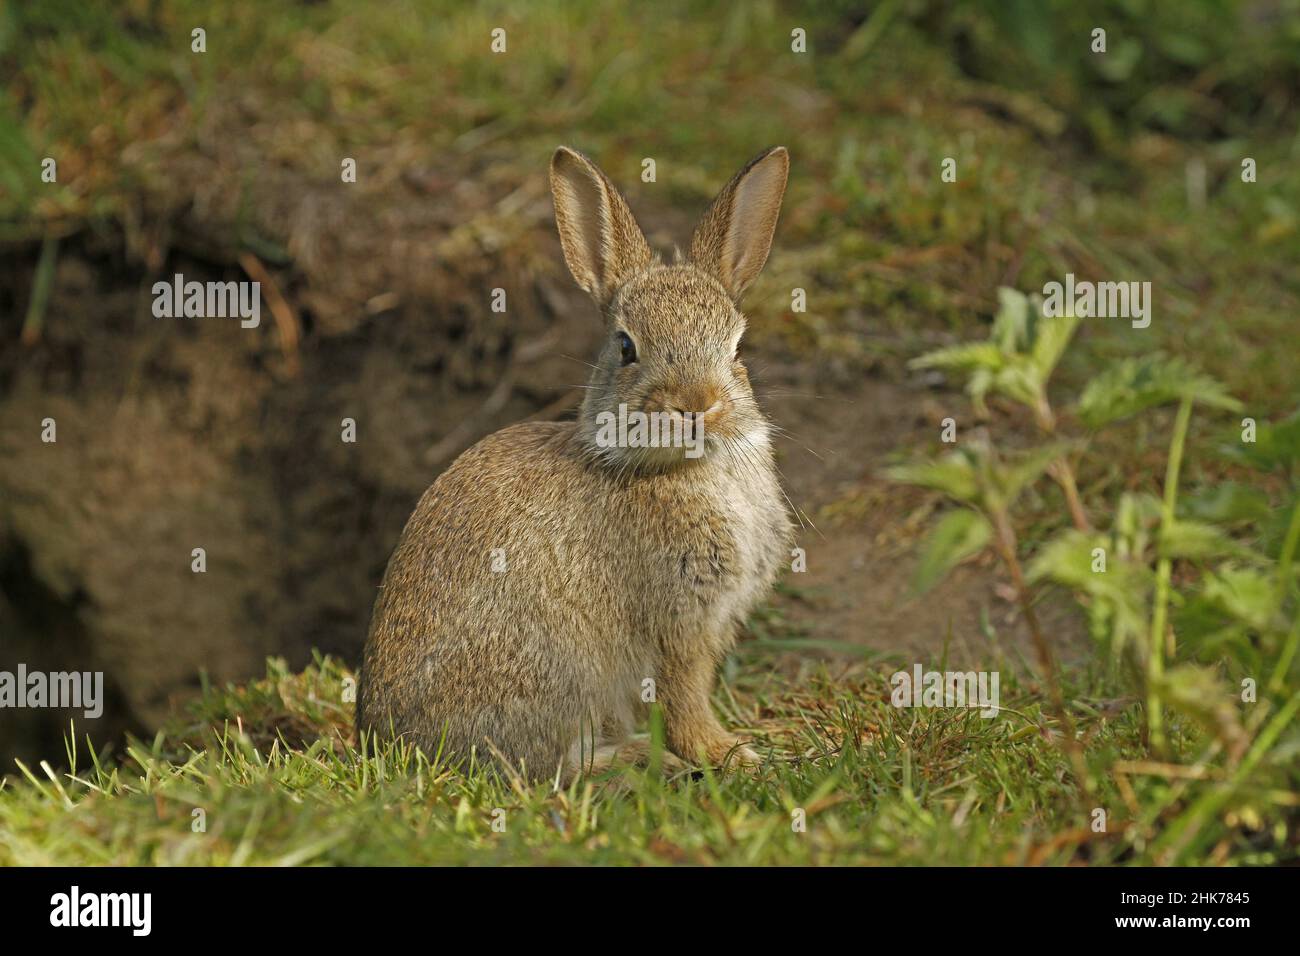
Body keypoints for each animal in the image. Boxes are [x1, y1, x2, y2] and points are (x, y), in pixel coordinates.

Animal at [356, 145, 794, 782]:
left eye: (737, 349)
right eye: (627, 347)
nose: (696, 404)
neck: (675, 470)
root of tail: (388, 743)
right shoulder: (676, 626)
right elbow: (684, 699)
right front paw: (726, 753)